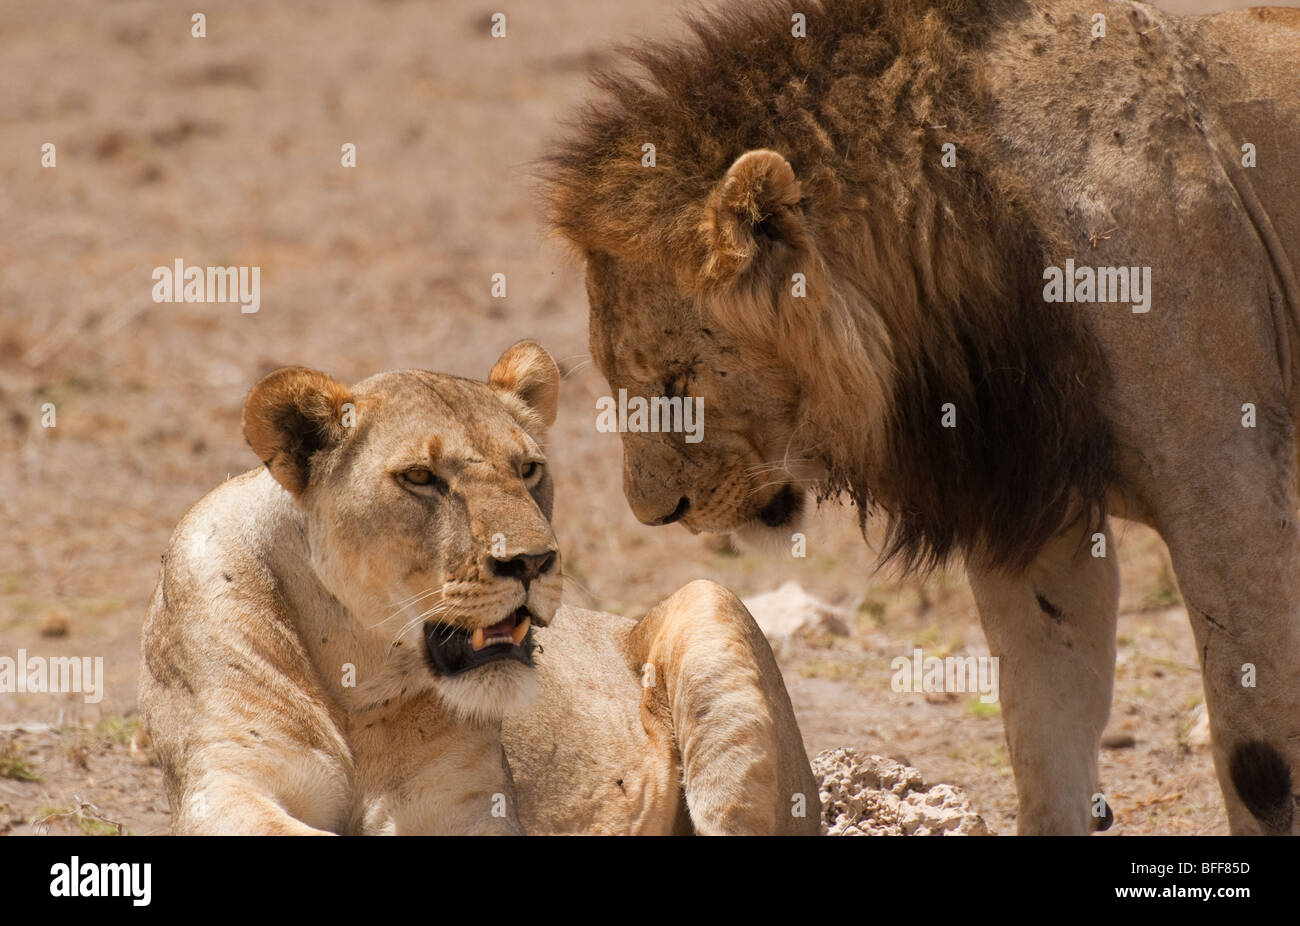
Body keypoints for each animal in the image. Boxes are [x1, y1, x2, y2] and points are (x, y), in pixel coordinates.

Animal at [137, 341, 819, 835]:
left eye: (530, 469)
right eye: (420, 477)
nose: (532, 561)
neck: (357, 679)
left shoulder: (468, 806)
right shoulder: (228, 786)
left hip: (709, 601)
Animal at [543, 0, 1300, 834]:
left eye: (675, 384)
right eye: (618, 381)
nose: (655, 514)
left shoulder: (1228, 486)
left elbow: (1258, 759)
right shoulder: (1028, 514)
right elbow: (1047, 741)